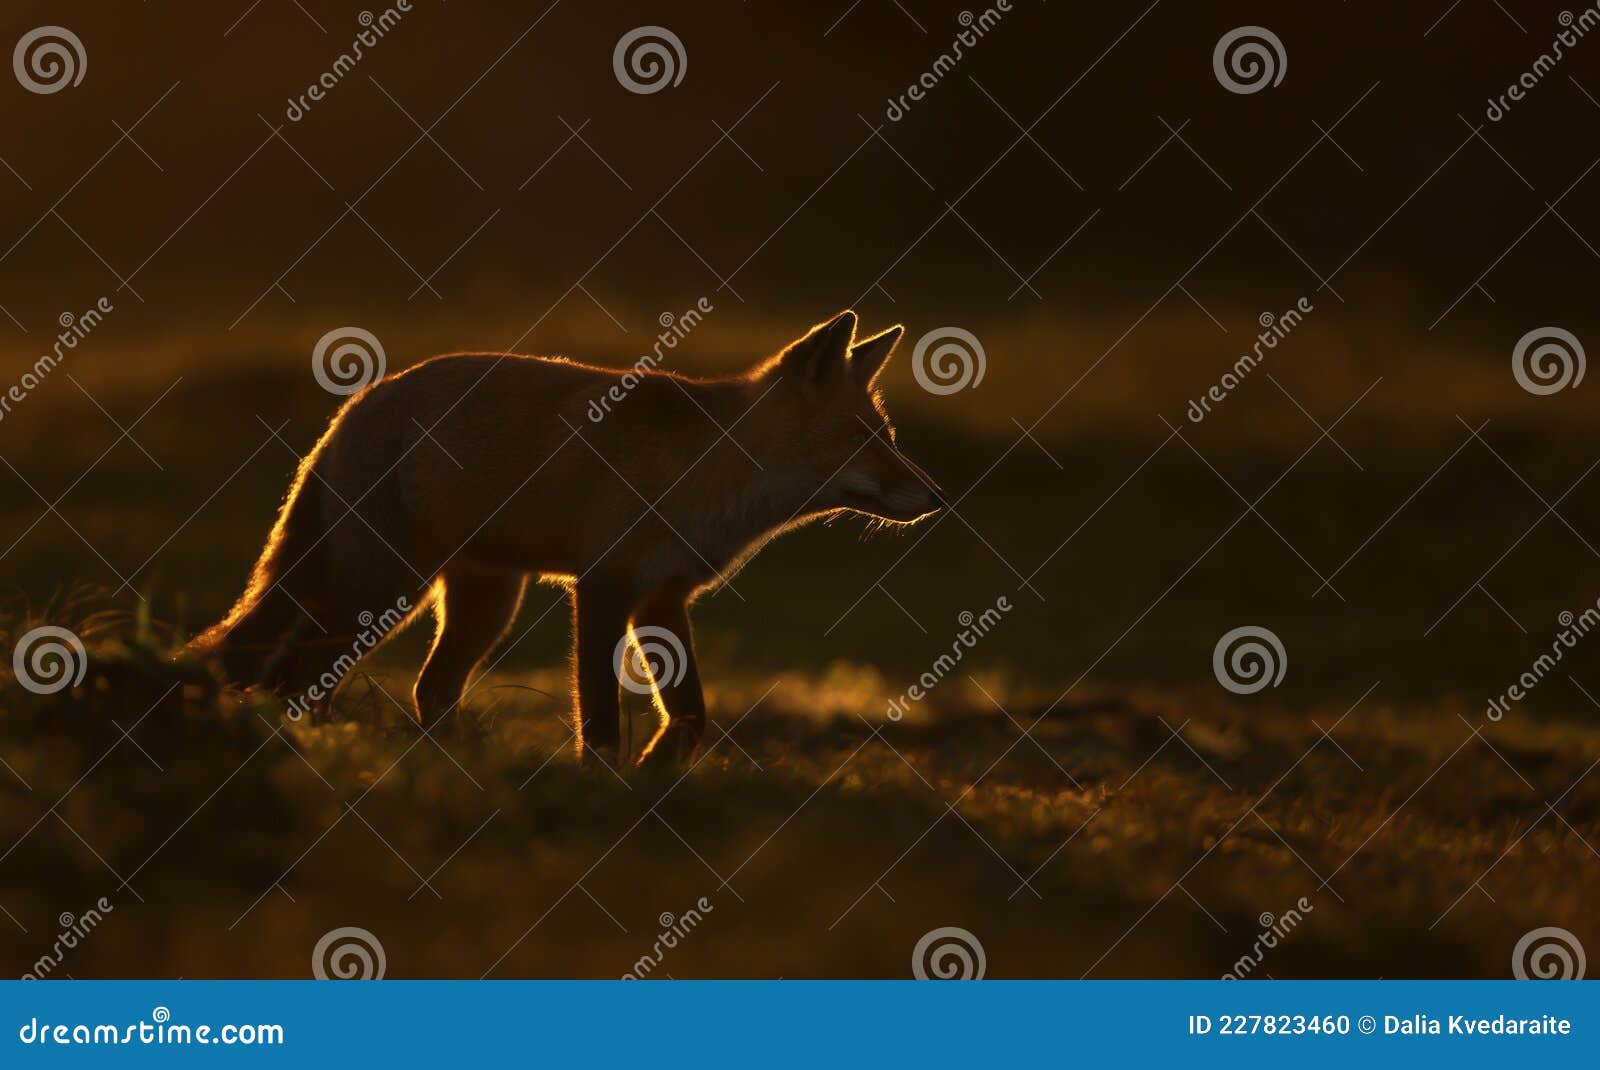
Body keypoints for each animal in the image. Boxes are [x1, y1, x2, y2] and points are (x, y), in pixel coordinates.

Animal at [190, 310, 942, 769]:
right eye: (866, 440)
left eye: (888, 438)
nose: (938, 499)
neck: (708, 474)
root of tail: (354, 407)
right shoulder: (603, 586)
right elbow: (600, 715)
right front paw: (604, 784)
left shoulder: (662, 599)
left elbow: (693, 715)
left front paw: (656, 772)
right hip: (378, 590)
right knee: (299, 677)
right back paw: (319, 753)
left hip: (483, 606)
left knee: (426, 688)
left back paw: (451, 766)